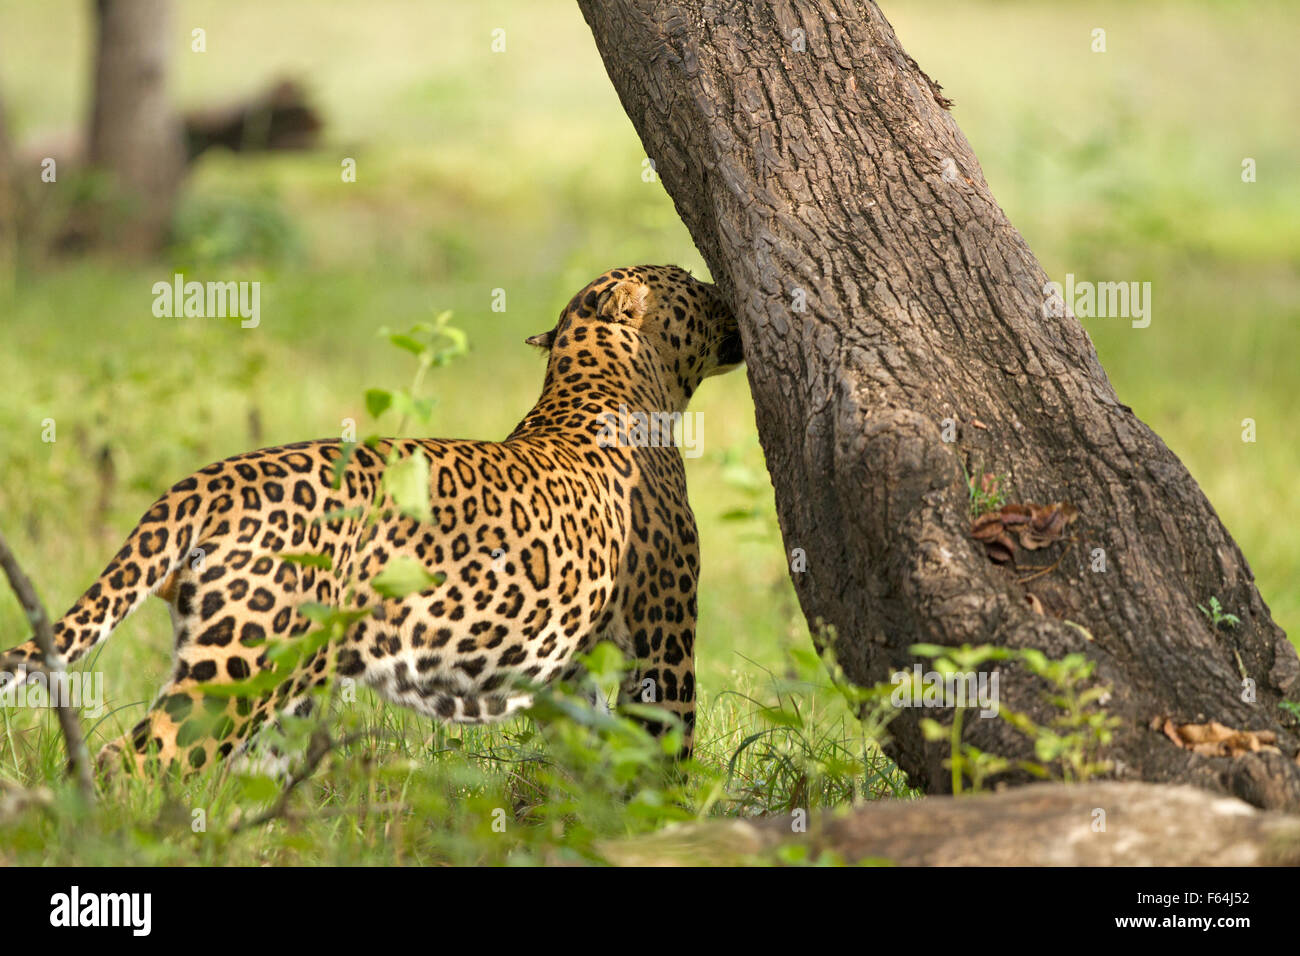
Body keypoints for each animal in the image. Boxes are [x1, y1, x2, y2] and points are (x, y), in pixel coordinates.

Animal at [0, 264, 743, 775]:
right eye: (688, 283)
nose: (727, 291)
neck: (598, 382)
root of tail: (203, 483)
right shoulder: (662, 635)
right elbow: (666, 748)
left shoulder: (569, 669)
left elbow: (591, 759)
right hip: (242, 665)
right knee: (140, 760)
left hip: (285, 684)